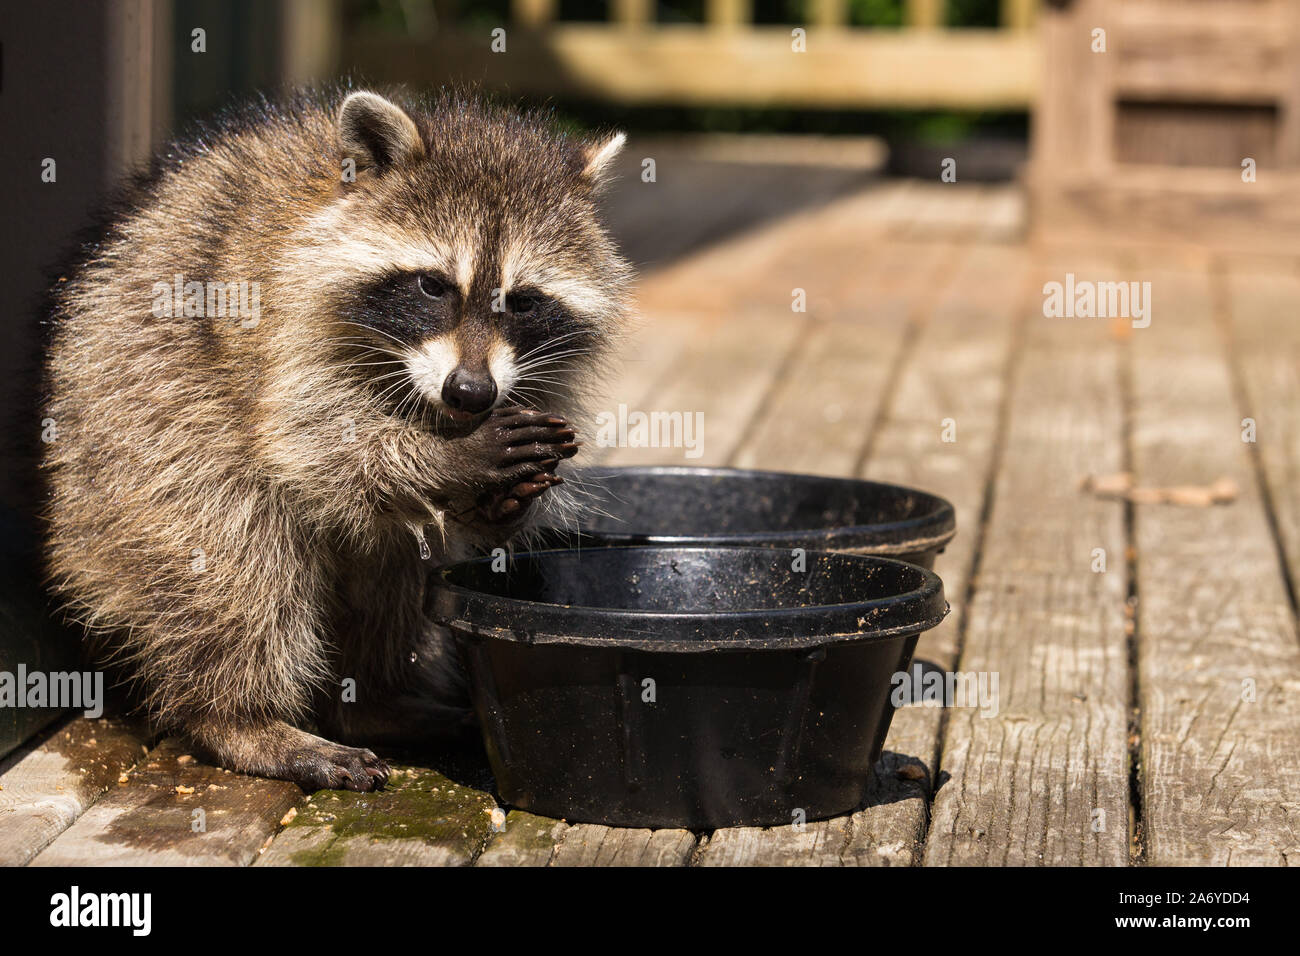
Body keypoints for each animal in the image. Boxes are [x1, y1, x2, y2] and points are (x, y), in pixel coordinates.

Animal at [41, 89, 632, 791]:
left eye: (520, 301)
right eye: (432, 285)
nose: (470, 393)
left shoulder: (536, 376)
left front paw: (500, 505)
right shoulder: (278, 322)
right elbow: (312, 445)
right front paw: (450, 460)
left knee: (395, 554)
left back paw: (373, 700)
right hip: (137, 427)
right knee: (234, 555)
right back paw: (240, 719)